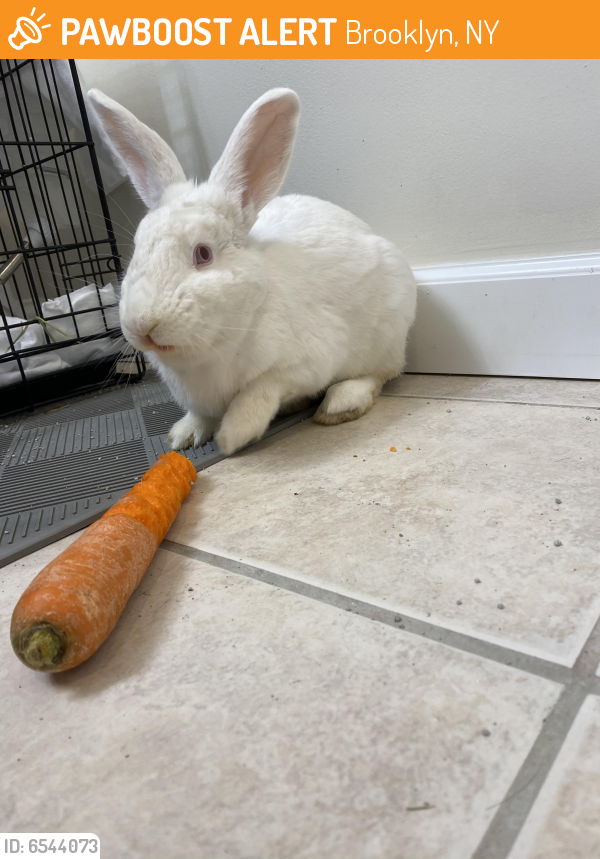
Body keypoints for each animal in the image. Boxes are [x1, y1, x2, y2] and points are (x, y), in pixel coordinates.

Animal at [88, 87, 417, 455]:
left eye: (203, 253)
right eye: (136, 250)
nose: (141, 326)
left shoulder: (299, 365)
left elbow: (257, 393)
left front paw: (233, 437)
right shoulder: (199, 398)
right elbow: (201, 413)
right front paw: (183, 437)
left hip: (386, 334)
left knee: (380, 374)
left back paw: (340, 403)